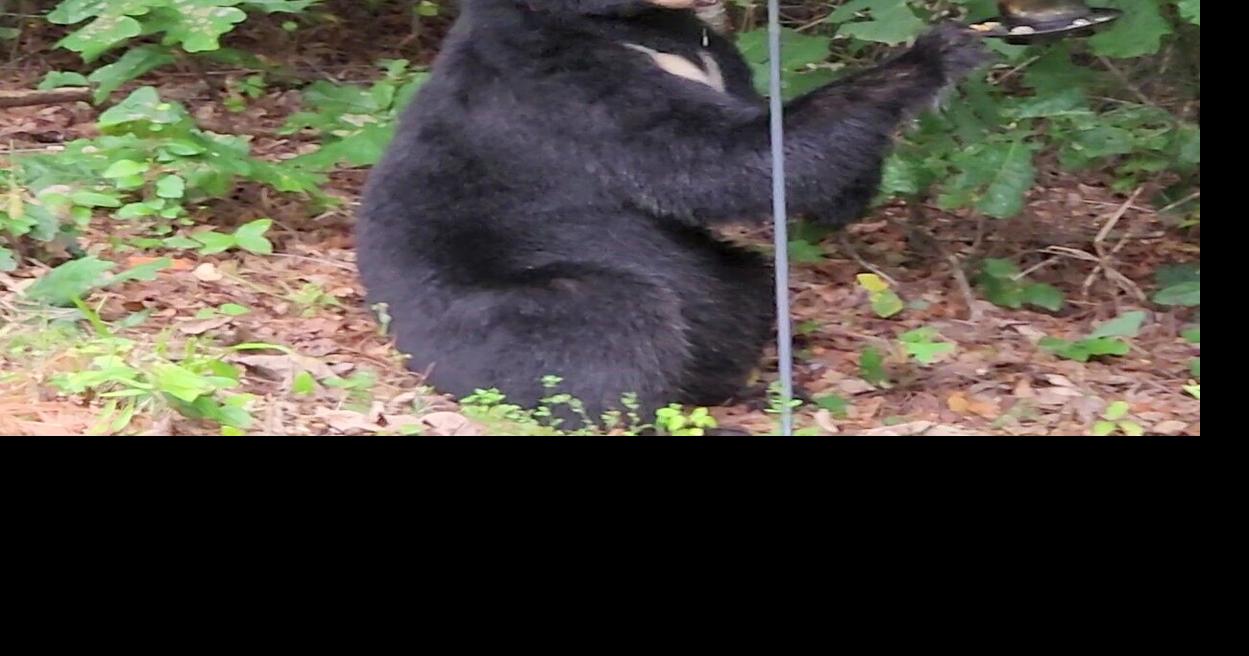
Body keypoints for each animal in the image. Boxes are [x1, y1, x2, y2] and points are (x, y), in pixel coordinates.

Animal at [356, 0, 989, 427]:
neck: (635, 25)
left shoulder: (712, 51)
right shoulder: (555, 85)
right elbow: (723, 156)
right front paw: (930, 58)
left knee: (742, 286)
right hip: (494, 318)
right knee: (608, 323)